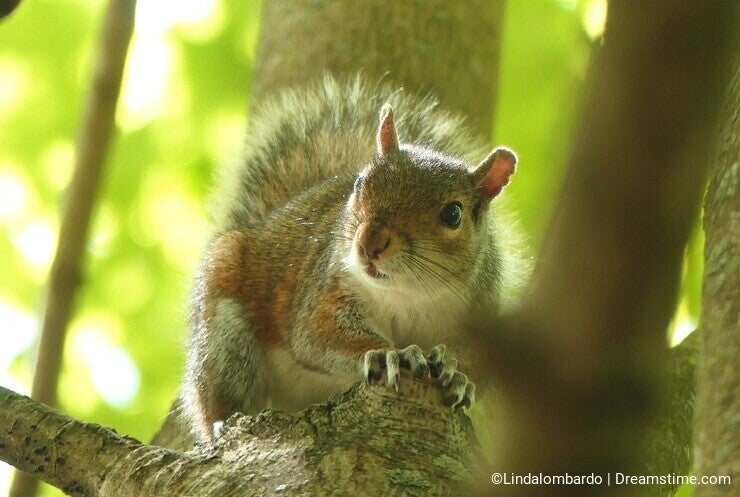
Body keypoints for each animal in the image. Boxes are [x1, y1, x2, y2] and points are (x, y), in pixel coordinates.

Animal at [179, 76, 519, 442]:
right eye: (360, 182)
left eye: (453, 214)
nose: (370, 242)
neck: (408, 293)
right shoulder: (328, 288)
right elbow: (317, 334)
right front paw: (390, 354)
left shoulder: (481, 310)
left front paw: (458, 375)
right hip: (225, 332)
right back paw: (223, 424)